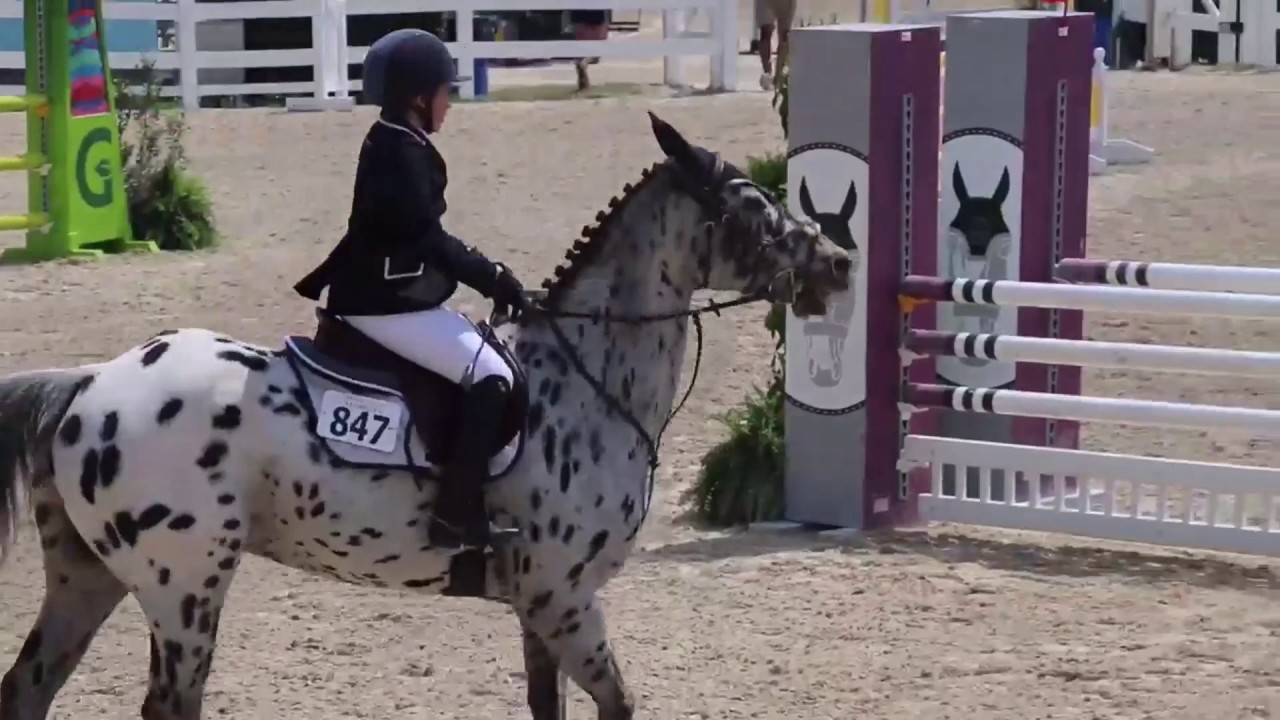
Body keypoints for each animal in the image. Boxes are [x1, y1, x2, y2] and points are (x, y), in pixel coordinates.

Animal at [0, 113, 851, 720]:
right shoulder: (566, 597)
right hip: (184, 587)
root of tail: (89, 385)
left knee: (28, 689)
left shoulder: (539, 607)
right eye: (755, 206)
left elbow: (546, 706)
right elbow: (616, 705)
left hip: (88, 577)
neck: (587, 379)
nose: (838, 266)